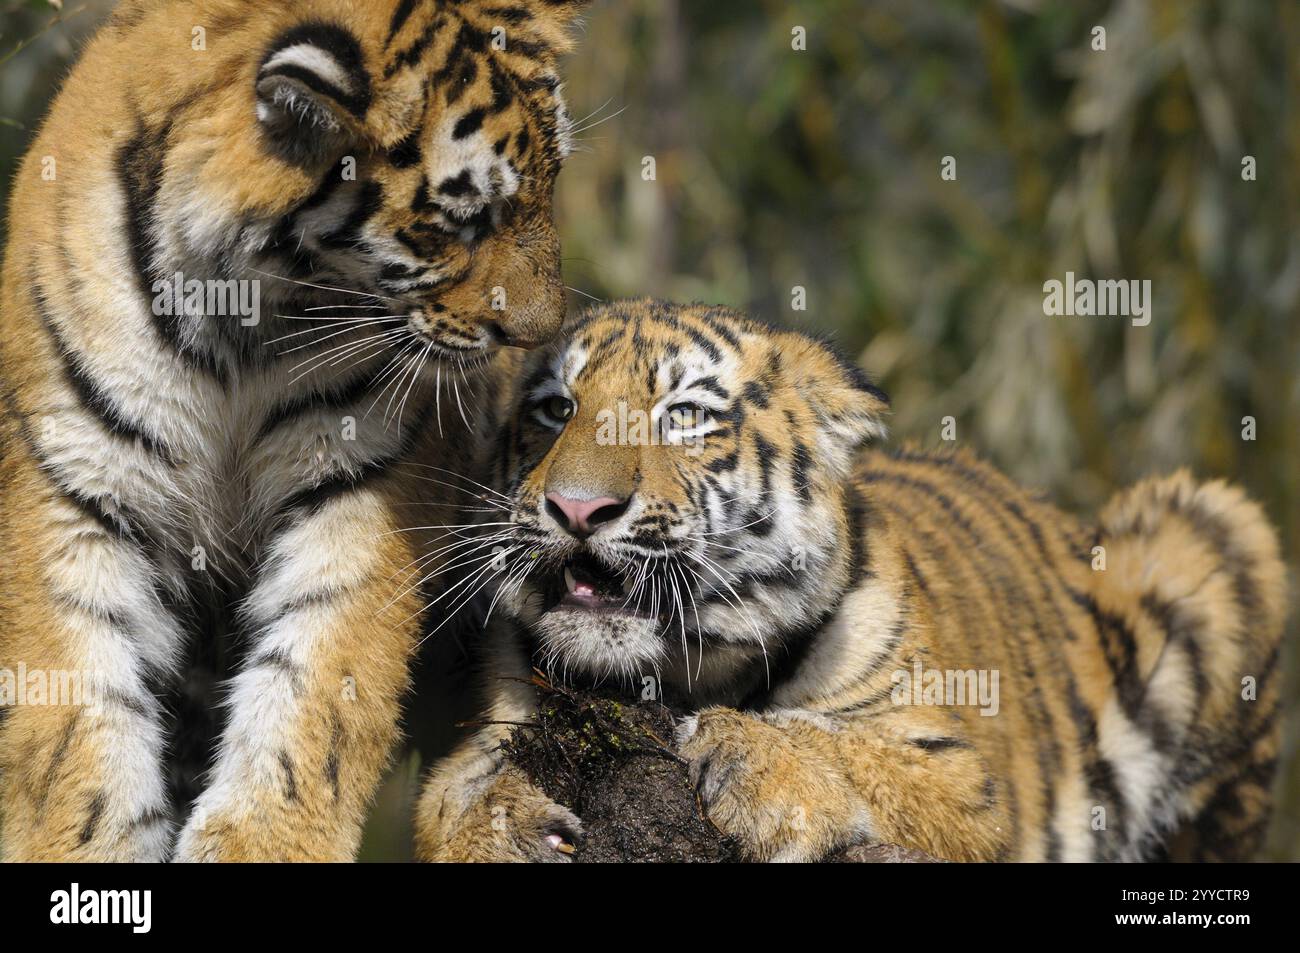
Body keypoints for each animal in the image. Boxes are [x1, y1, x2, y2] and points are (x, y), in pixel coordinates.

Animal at [0, 0, 591, 861]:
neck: (243, 317)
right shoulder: (76, 491)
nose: (541, 333)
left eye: (554, 184)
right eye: (464, 221)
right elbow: (75, 726)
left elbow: (317, 692)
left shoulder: (360, 483)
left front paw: (265, 841)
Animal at [413, 298, 1288, 863]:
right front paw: (505, 821)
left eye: (685, 417)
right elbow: (451, 795)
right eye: (556, 409)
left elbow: (853, 748)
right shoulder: (493, 724)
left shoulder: (962, 777)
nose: (577, 507)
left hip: (1210, 526)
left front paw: (757, 761)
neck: (684, 669)